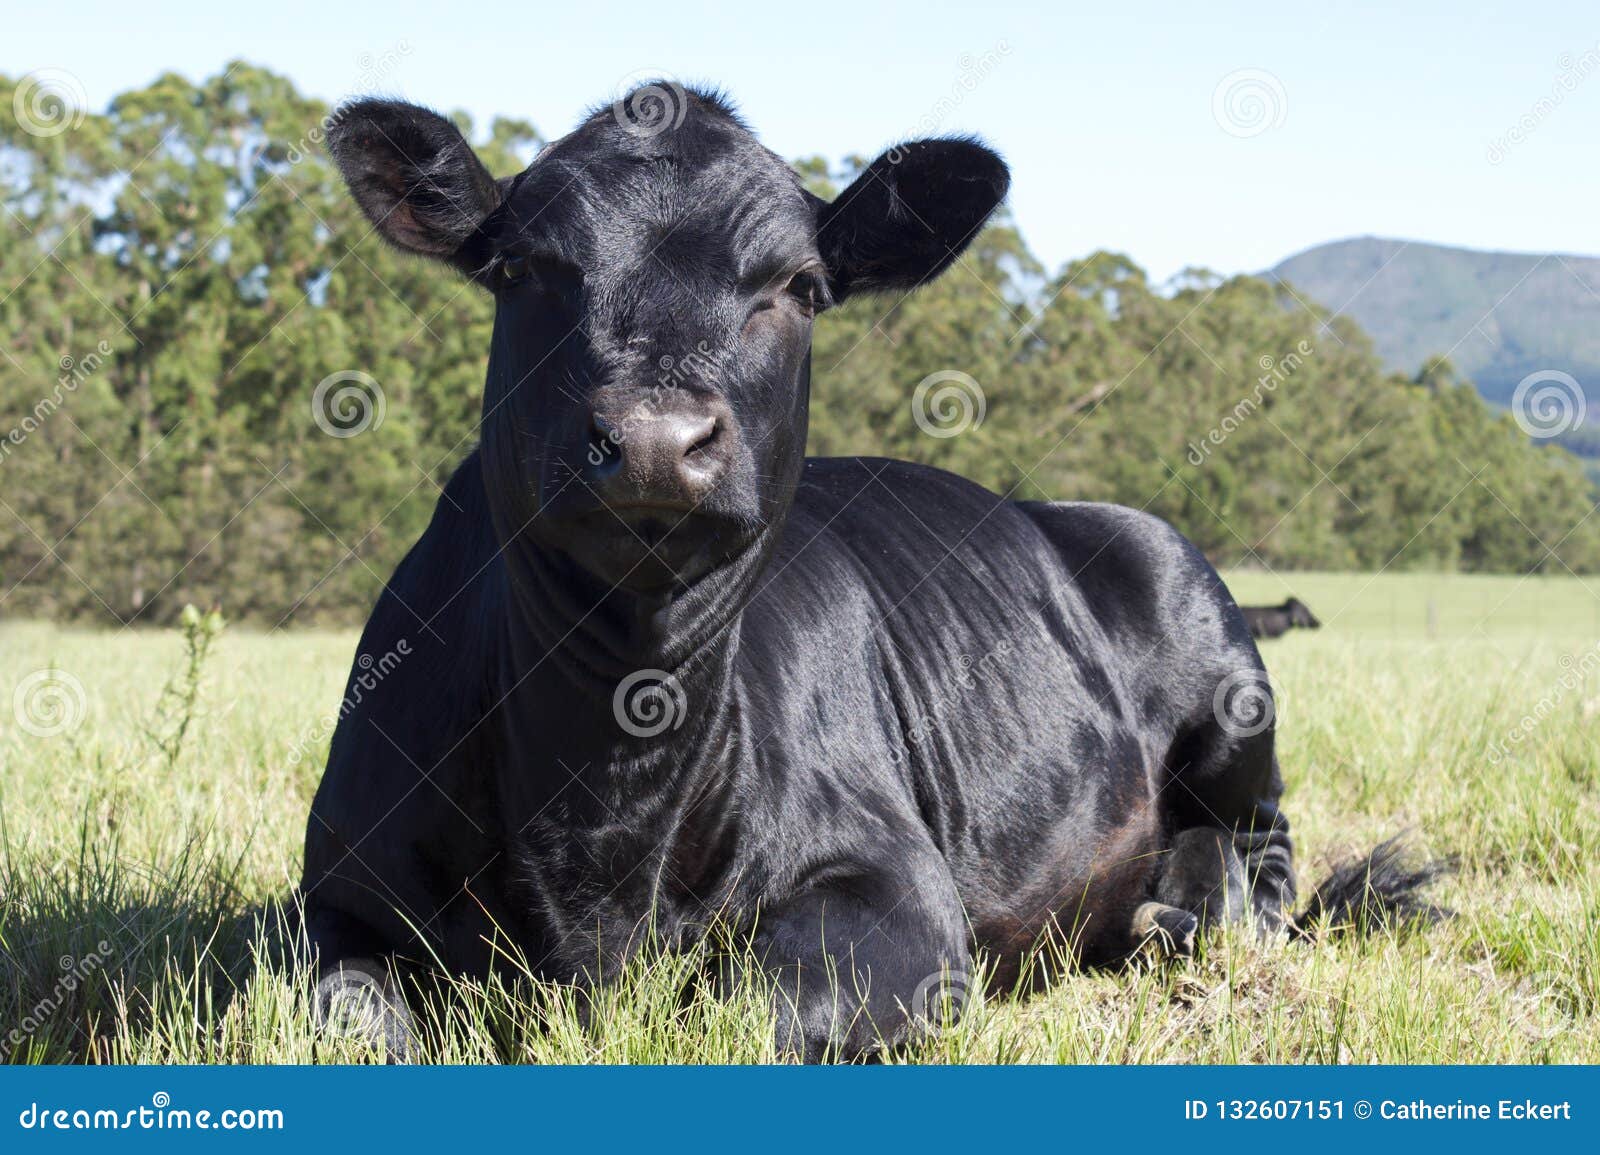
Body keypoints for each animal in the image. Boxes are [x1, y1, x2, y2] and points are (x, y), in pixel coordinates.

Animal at [300, 85, 1436, 1062]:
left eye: (797, 288)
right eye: (525, 270)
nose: (657, 439)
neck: (604, 810)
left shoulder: (899, 890)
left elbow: (734, 1014)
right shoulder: (339, 895)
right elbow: (351, 1017)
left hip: (1224, 680)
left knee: (1261, 853)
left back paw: (1193, 905)